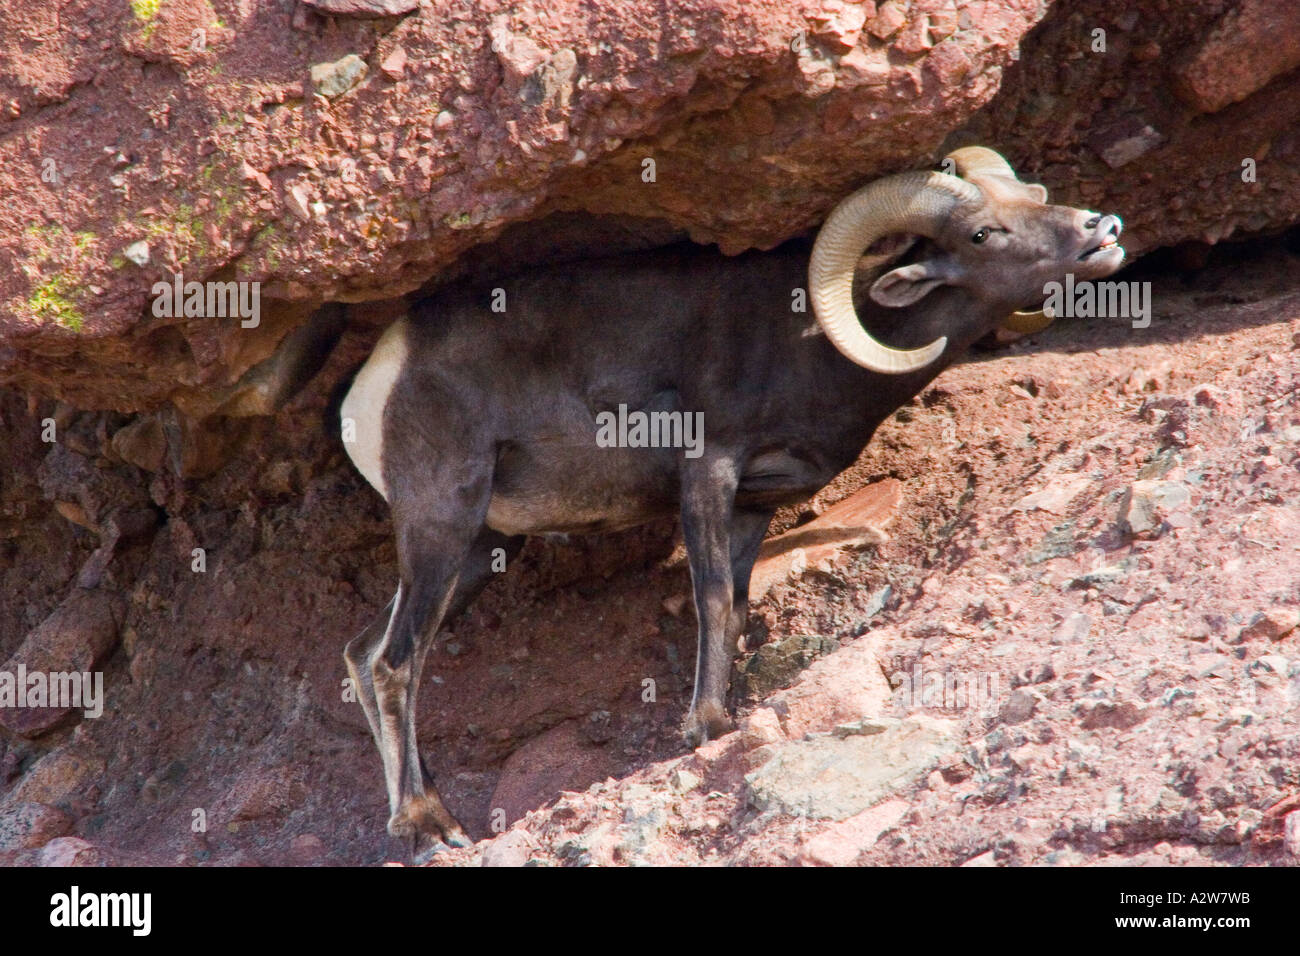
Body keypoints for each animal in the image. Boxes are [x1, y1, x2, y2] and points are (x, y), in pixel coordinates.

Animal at [339, 147, 1126, 854]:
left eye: (1033, 192)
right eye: (982, 234)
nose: (1103, 229)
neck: (811, 349)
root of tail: (372, 383)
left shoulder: (754, 507)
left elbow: (739, 608)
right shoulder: (709, 474)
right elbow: (713, 599)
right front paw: (708, 725)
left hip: (481, 548)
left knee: (362, 653)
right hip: (443, 522)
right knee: (396, 662)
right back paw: (429, 826)